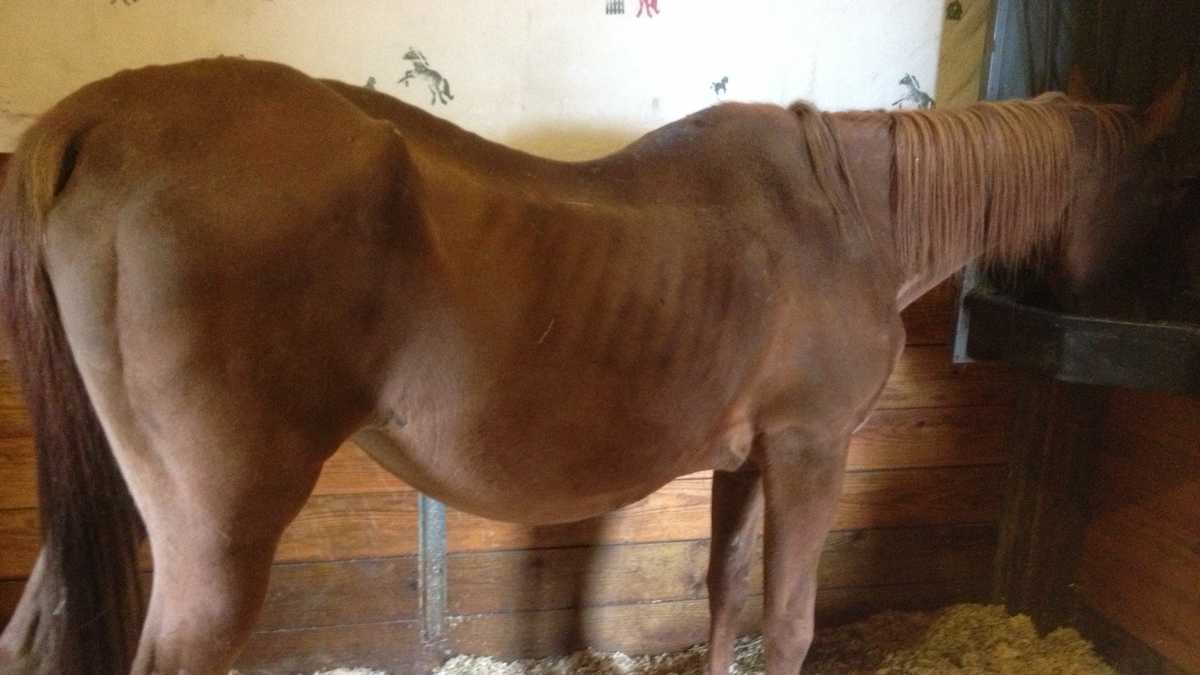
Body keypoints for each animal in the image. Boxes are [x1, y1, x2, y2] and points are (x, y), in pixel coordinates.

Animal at [0, 58, 1183, 675]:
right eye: (1168, 183)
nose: (1149, 316)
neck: (845, 215)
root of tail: (94, 114)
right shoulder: (809, 451)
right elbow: (788, 619)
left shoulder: (743, 461)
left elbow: (724, 597)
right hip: (213, 542)